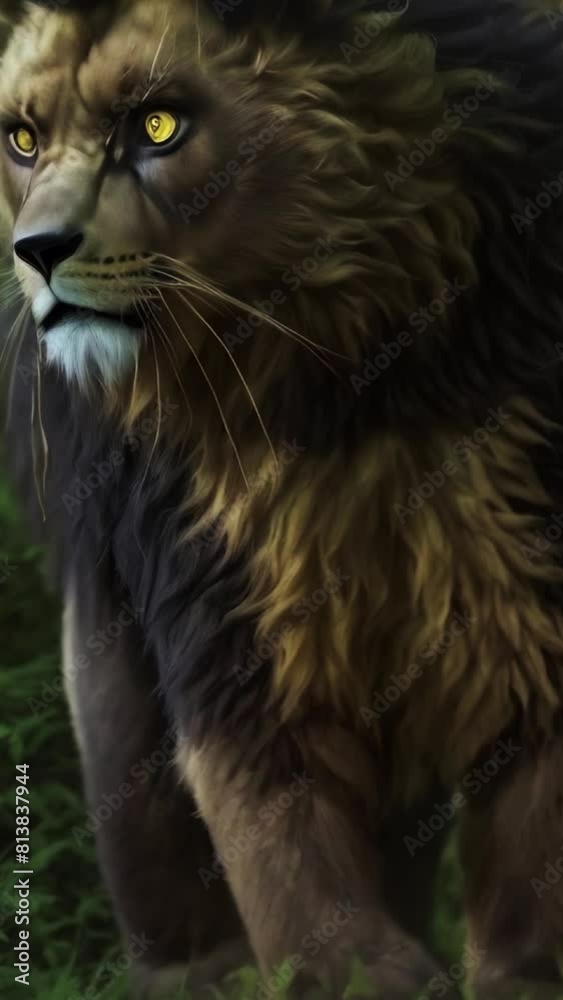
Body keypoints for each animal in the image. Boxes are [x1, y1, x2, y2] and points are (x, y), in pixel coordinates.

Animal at [4, 0, 563, 996]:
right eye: (23, 140)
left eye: (157, 125)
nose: (35, 251)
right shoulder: (225, 623)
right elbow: (293, 878)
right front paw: (371, 976)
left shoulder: (528, 605)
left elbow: (528, 896)